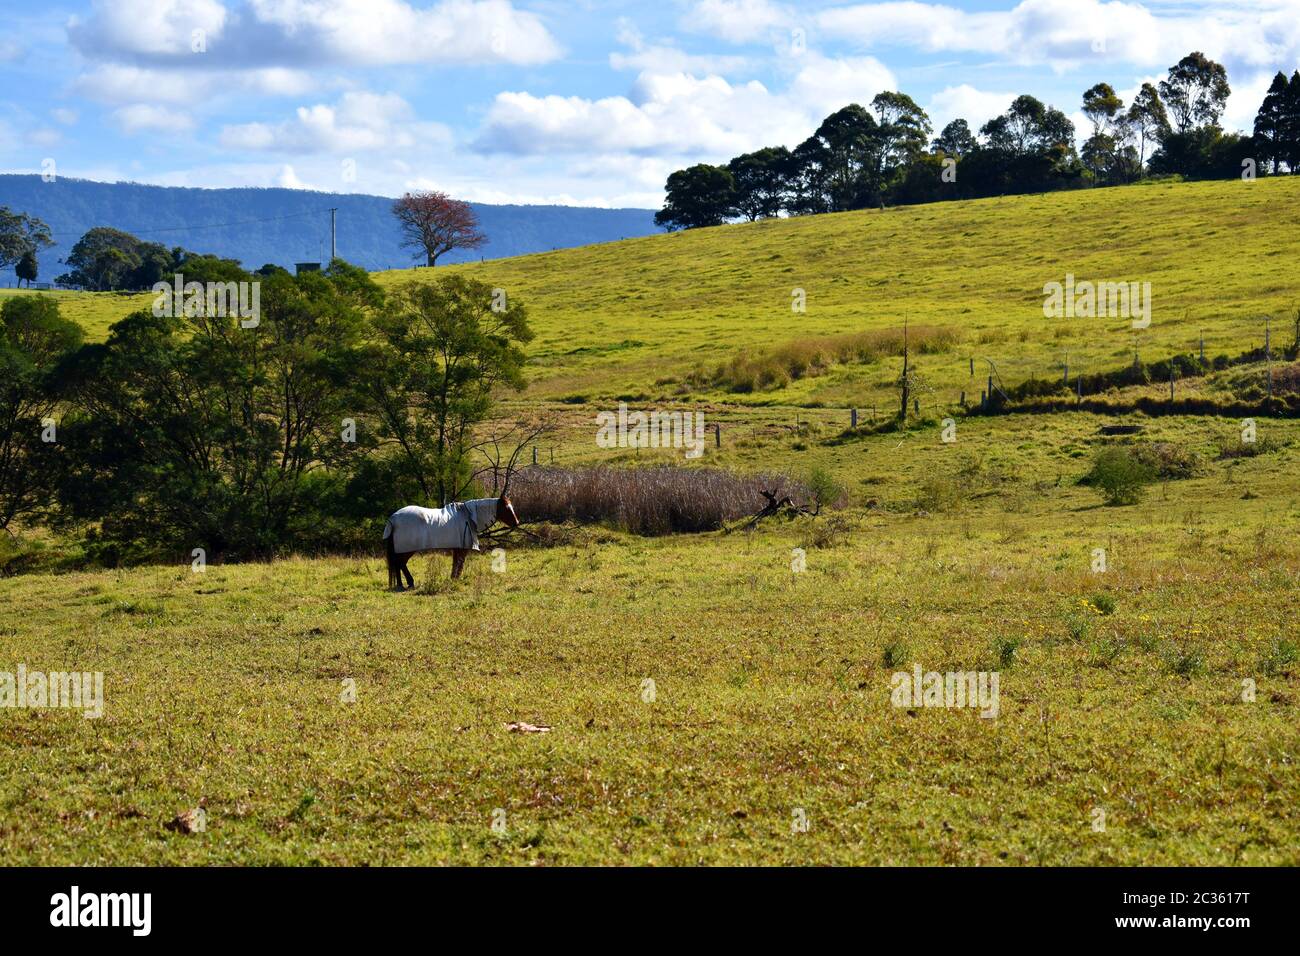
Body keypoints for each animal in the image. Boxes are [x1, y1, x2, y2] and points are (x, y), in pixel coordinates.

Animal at [383, 494, 520, 591]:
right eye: (506, 508)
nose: (517, 523)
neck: (468, 516)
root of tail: (393, 518)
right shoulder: (462, 548)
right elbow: (459, 564)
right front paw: (455, 579)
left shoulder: (458, 547)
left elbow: (456, 563)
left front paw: (453, 579)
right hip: (407, 549)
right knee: (400, 563)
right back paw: (408, 583)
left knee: (399, 564)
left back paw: (401, 584)